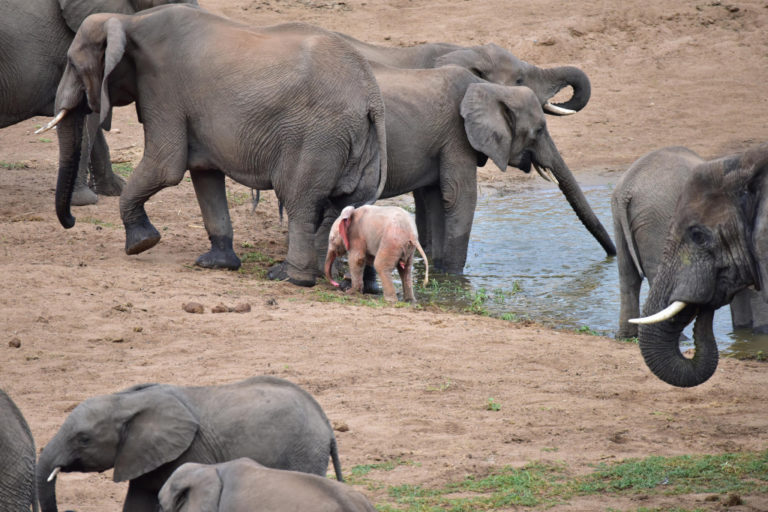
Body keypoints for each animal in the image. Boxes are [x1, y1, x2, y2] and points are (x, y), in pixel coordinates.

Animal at [46, 4, 386, 286]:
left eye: (72, 64)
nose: (72, 221)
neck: (129, 21)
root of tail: (370, 94)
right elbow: (204, 173)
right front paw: (216, 264)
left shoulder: (162, 87)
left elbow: (165, 166)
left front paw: (141, 244)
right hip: (358, 142)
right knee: (343, 206)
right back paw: (319, 275)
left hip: (316, 137)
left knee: (301, 202)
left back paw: (290, 278)